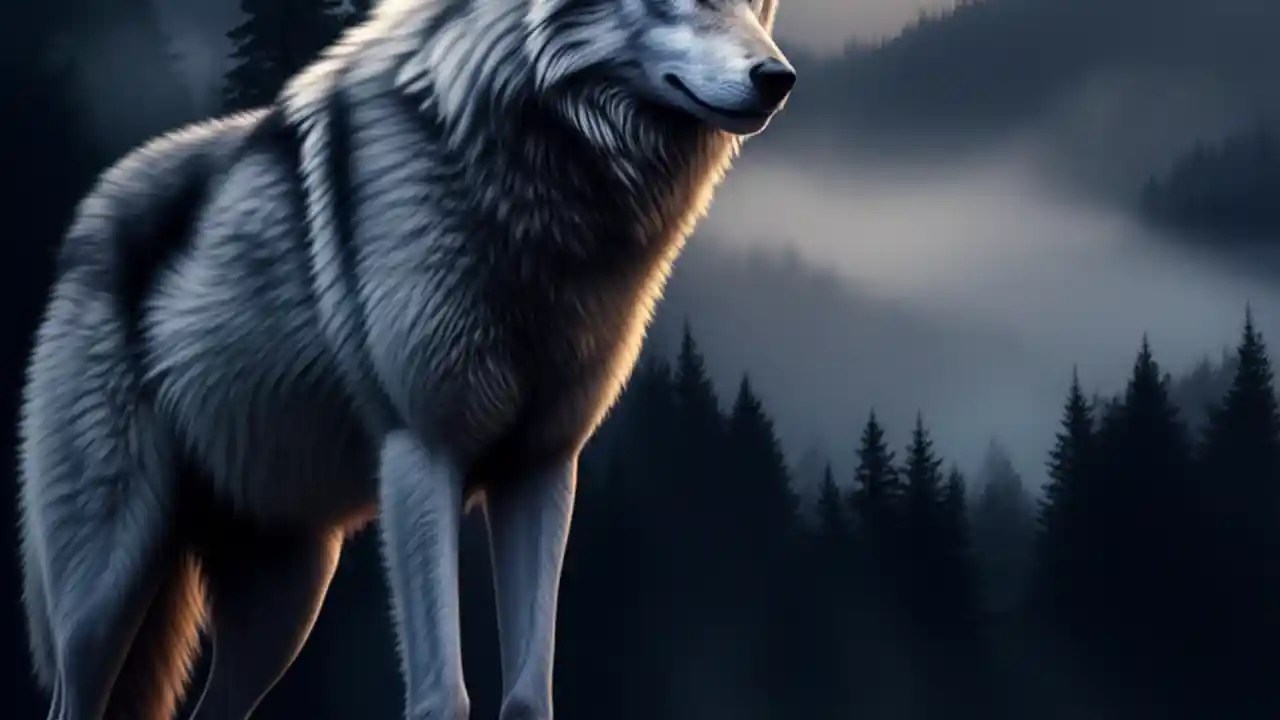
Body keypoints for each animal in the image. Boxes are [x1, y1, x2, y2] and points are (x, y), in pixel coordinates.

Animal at [17, 0, 794, 718]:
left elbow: (528, 694)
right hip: (107, 586)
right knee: (72, 697)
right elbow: (442, 695)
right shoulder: (423, 454)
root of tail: (89, 211)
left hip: (288, 601)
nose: (779, 79)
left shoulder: (542, 467)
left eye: (752, 4)